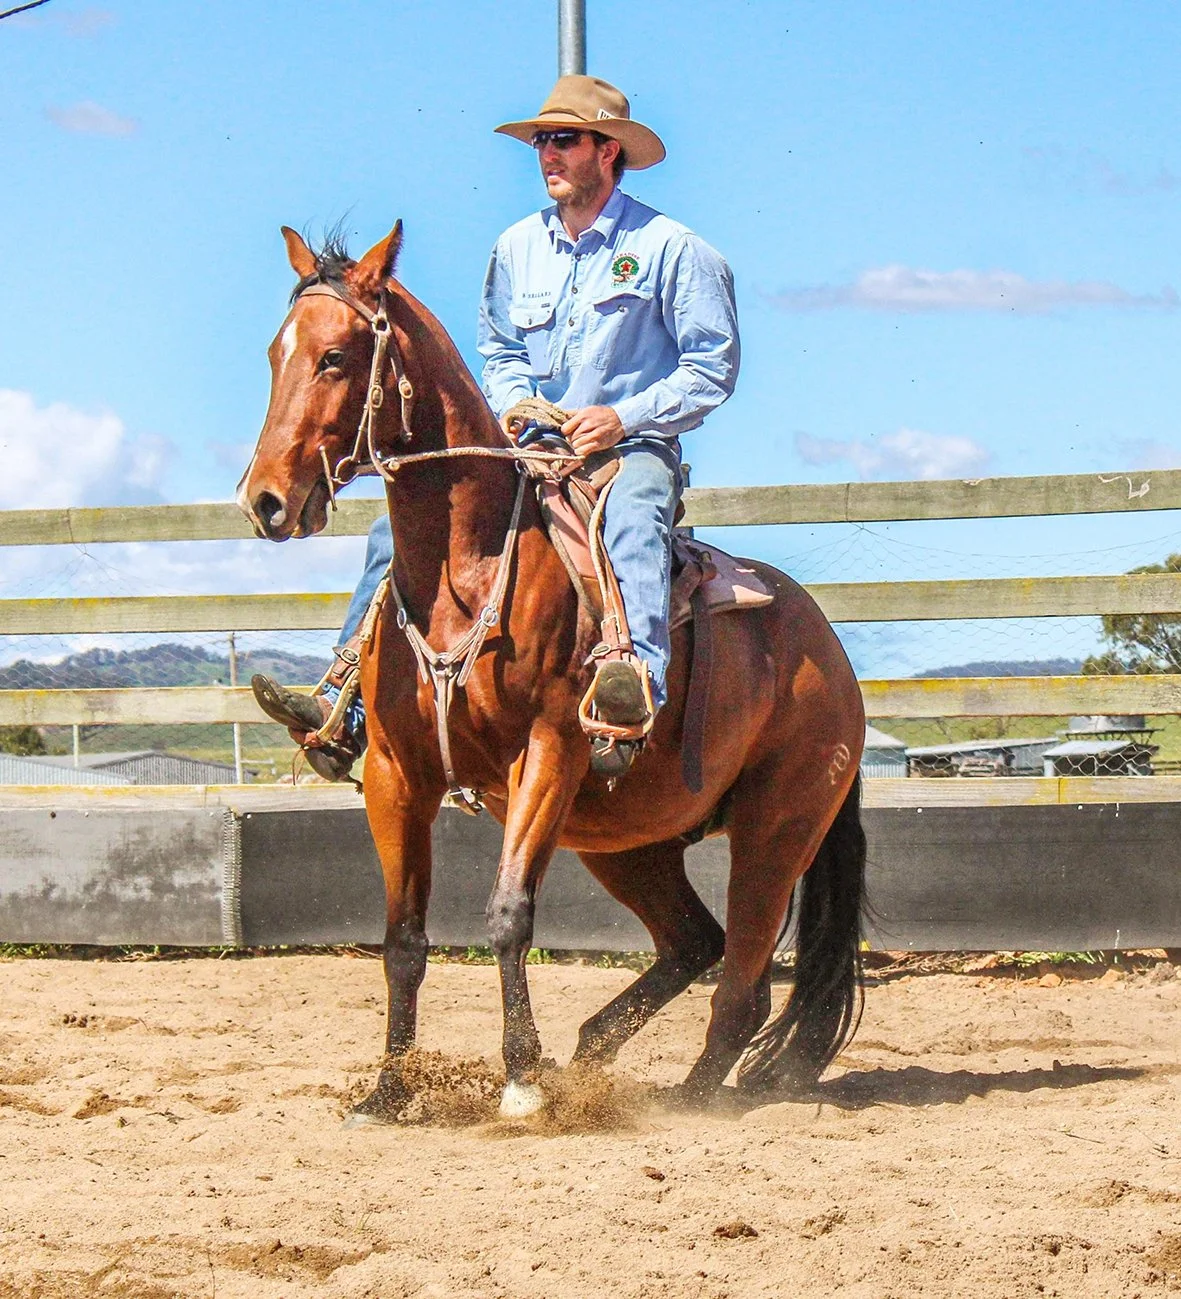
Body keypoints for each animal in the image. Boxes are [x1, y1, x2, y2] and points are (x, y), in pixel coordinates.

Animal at [237, 222, 868, 1121]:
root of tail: (826, 647)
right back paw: (590, 1051)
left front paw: (520, 1079)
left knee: (740, 984)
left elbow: (508, 915)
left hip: (777, 827)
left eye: (333, 356)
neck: (464, 569)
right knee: (695, 941)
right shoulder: (396, 774)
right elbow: (402, 939)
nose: (265, 502)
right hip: (623, 839)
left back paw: (685, 1095)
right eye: (275, 354)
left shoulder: (546, 752)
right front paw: (390, 1089)